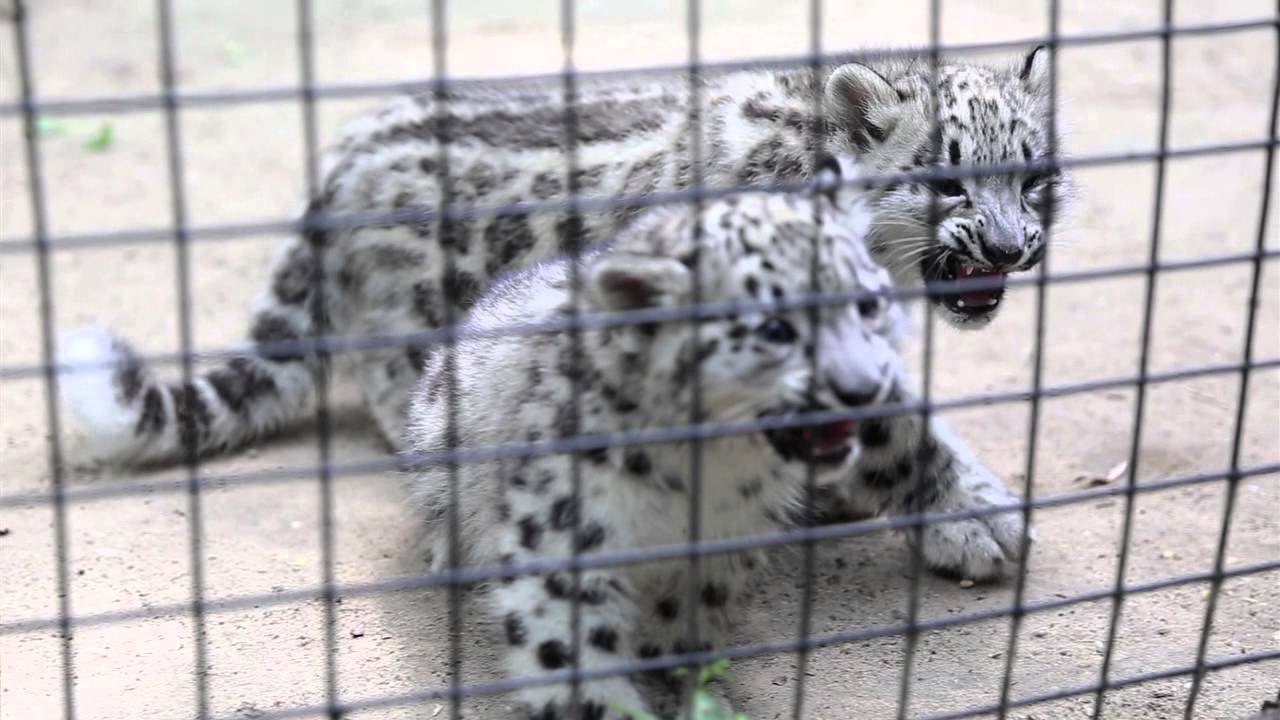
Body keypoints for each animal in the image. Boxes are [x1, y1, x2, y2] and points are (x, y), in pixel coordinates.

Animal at [58, 47, 1059, 581]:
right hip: (418, 316)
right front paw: (974, 521)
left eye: (1035, 175)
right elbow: (891, 429)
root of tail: (339, 160)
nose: (1012, 247)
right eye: (946, 179)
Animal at [405, 158, 1004, 718]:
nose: (861, 388)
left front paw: (678, 668)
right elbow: (569, 646)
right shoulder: (560, 528)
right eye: (775, 329)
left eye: (867, 303)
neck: (710, 470)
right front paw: (609, 707)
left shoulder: (725, 535)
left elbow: (688, 609)